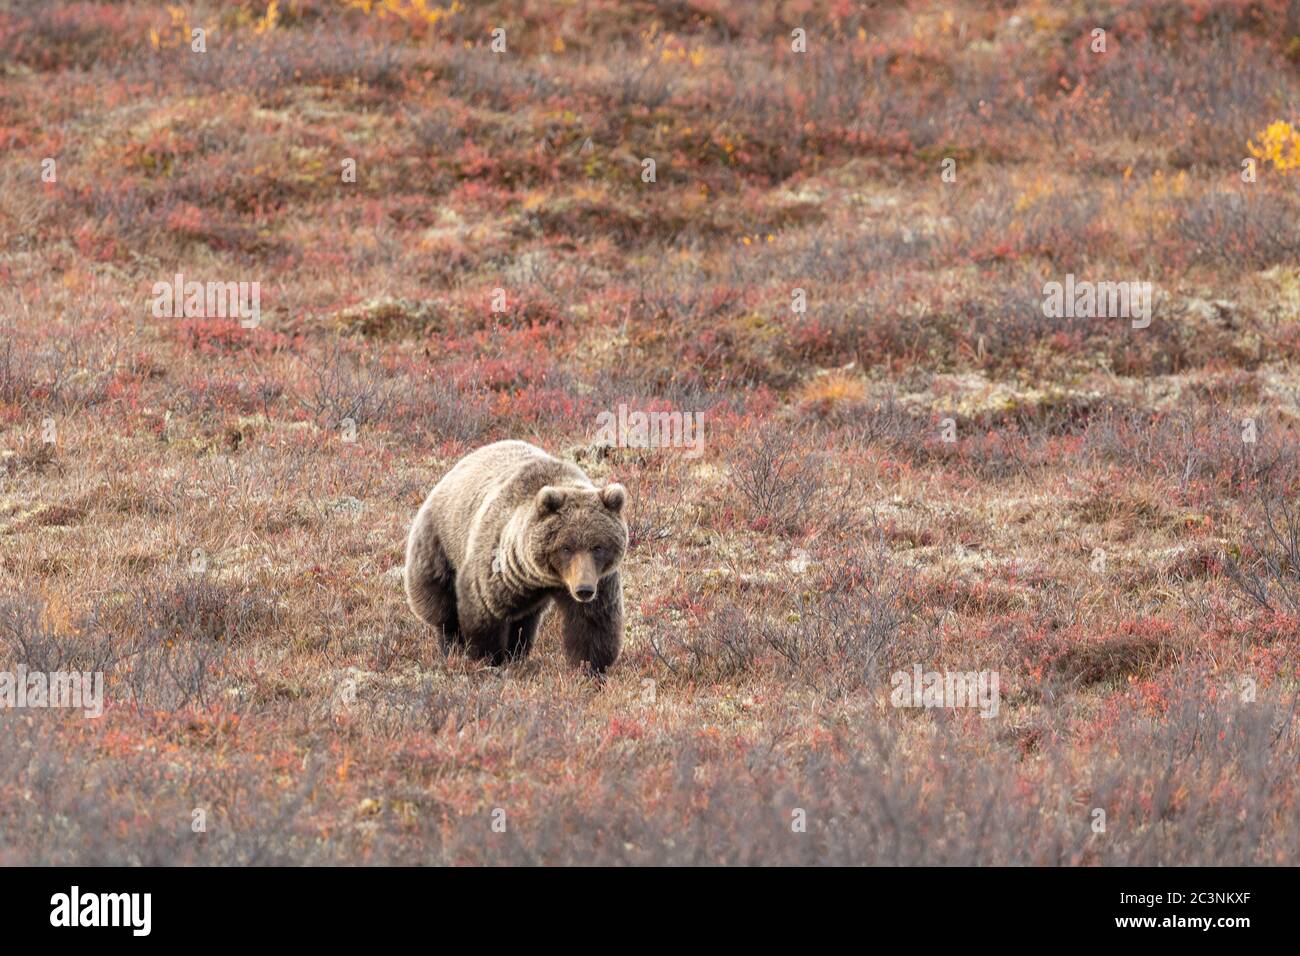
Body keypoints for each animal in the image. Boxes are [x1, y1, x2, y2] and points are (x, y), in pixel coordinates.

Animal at [403, 440, 628, 673]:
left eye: (598, 547)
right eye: (566, 547)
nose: (583, 589)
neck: (548, 578)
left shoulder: (599, 578)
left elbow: (593, 623)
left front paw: (590, 668)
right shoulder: (500, 561)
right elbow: (483, 609)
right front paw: (487, 658)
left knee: (525, 622)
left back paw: (517, 653)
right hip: (438, 545)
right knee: (442, 607)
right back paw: (452, 647)